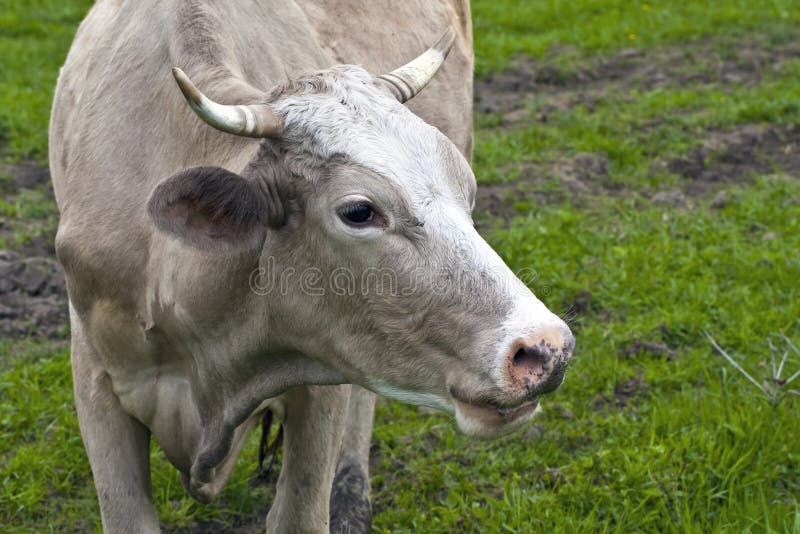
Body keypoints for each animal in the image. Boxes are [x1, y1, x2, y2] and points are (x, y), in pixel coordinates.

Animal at [49, 1, 574, 532]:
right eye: (359, 211)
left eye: (466, 187)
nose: (546, 349)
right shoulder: (95, 380)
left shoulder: (324, 371)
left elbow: (300, 510)